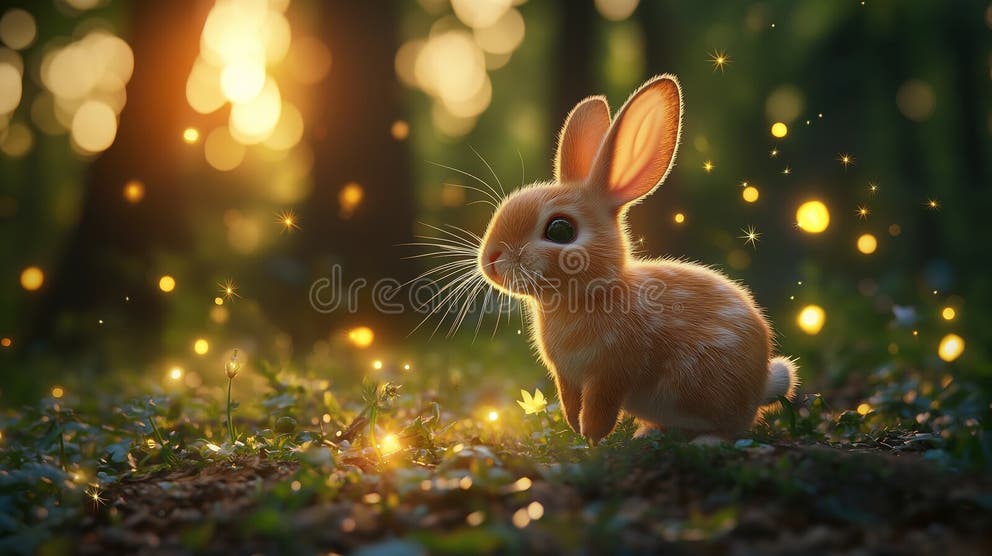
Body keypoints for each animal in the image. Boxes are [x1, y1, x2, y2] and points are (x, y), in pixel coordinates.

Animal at [477, 74, 799, 444]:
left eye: (560, 230)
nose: (491, 259)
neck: (587, 294)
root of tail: (761, 384)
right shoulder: (566, 376)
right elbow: (570, 402)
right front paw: (576, 429)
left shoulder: (613, 372)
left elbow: (600, 409)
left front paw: (591, 439)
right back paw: (648, 434)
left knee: (732, 427)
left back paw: (706, 441)